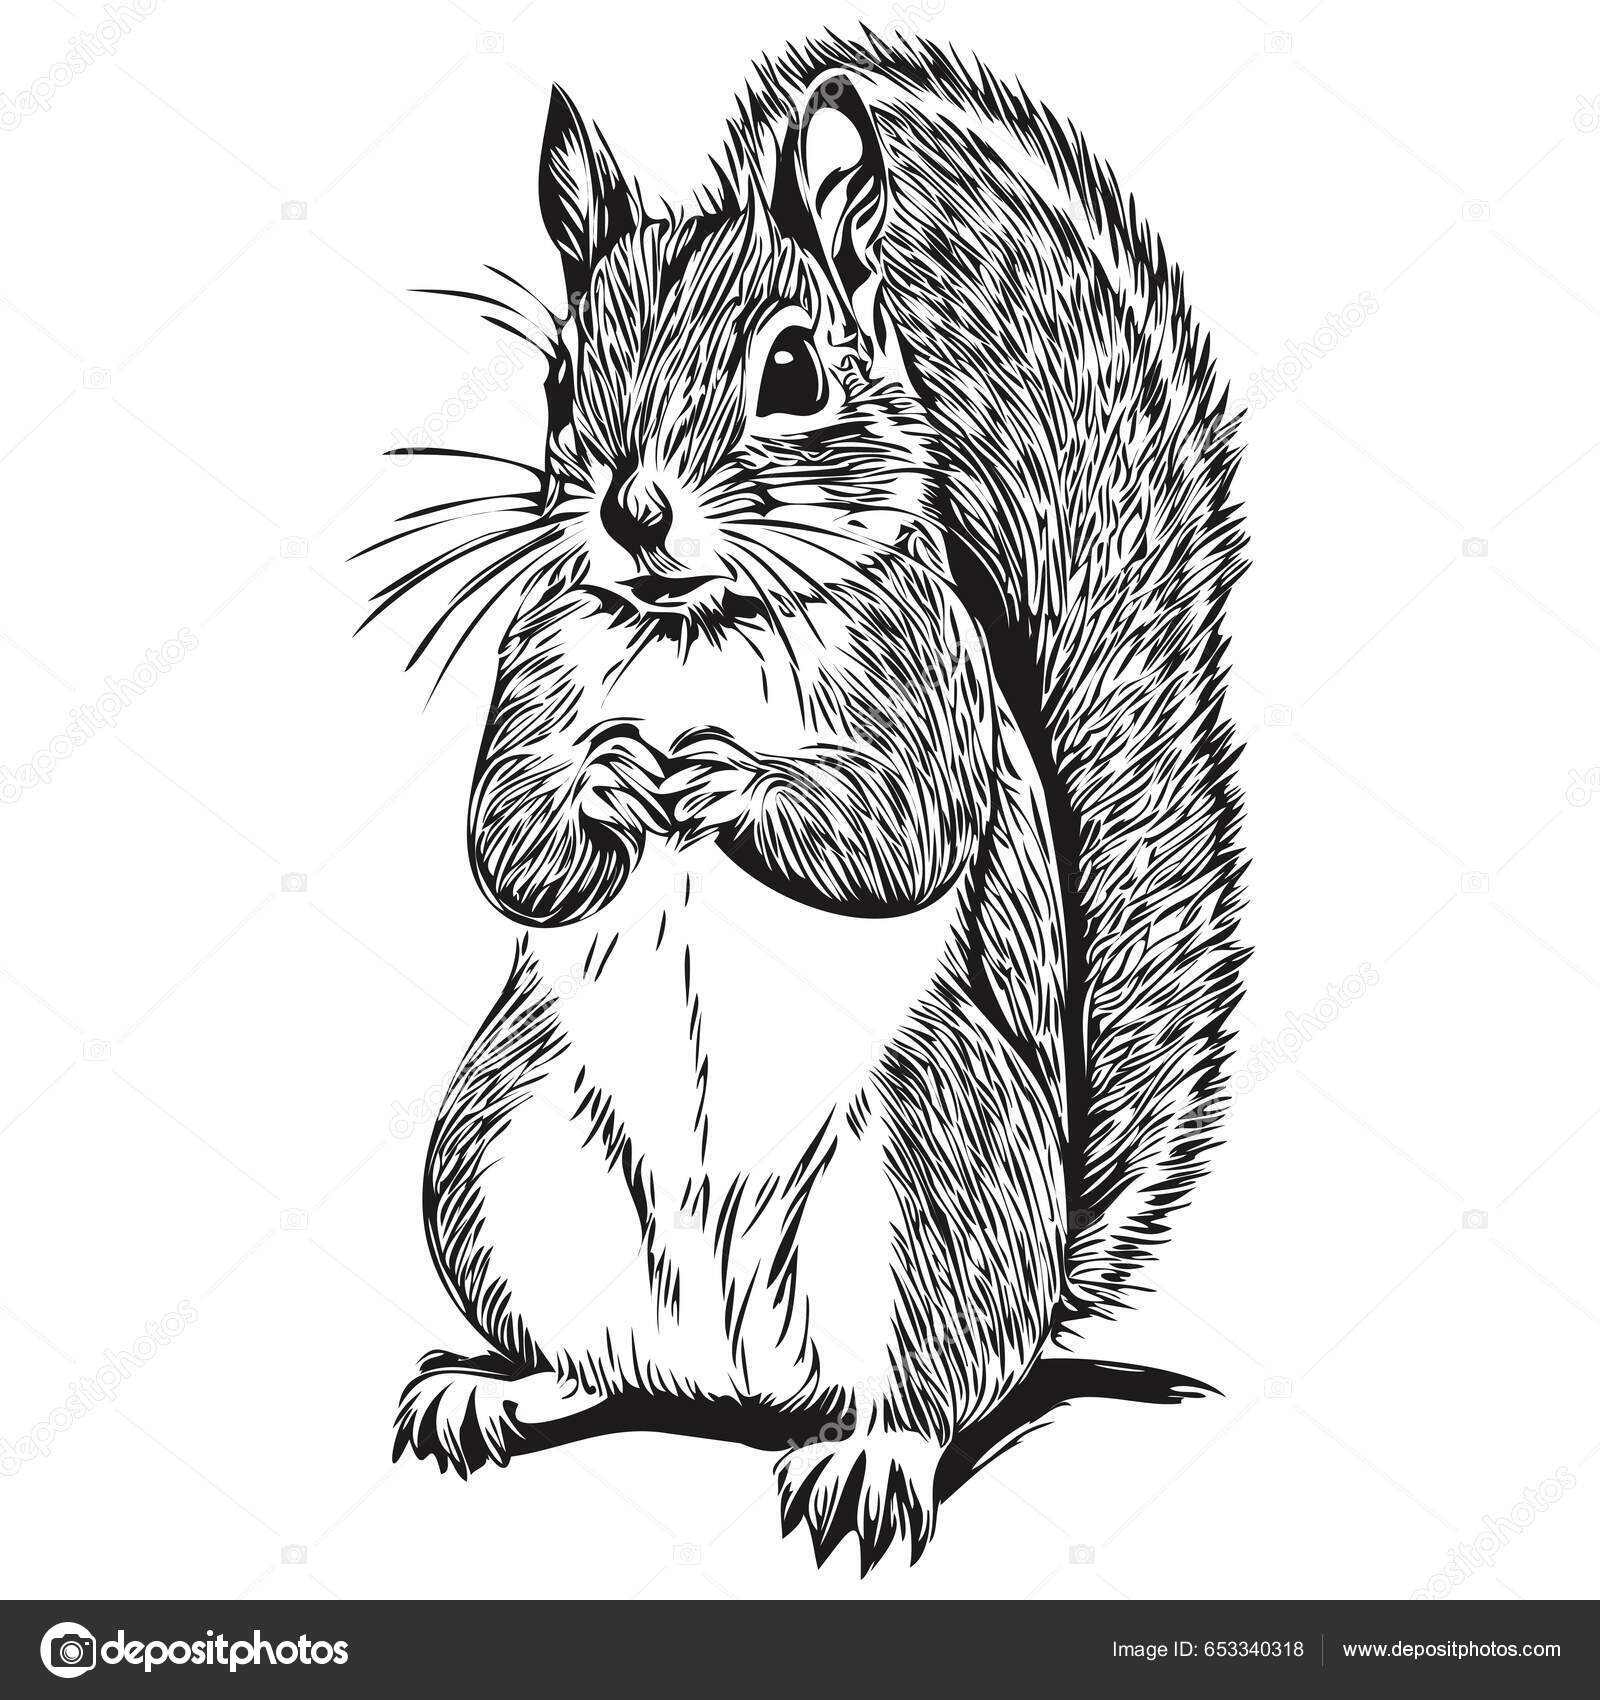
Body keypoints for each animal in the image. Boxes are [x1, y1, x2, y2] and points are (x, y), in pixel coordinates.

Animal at [386, 29, 1247, 1574]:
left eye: (793, 368)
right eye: (562, 381)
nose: (633, 512)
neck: (695, 630)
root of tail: (738, 1381)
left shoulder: (928, 674)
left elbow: (897, 827)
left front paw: (724, 774)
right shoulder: (534, 668)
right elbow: (507, 836)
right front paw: (609, 778)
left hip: (924, 1186)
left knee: (933, 1391)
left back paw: (867, 1457)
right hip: (500, 1156)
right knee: (605, 1363)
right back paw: (499, 1389)